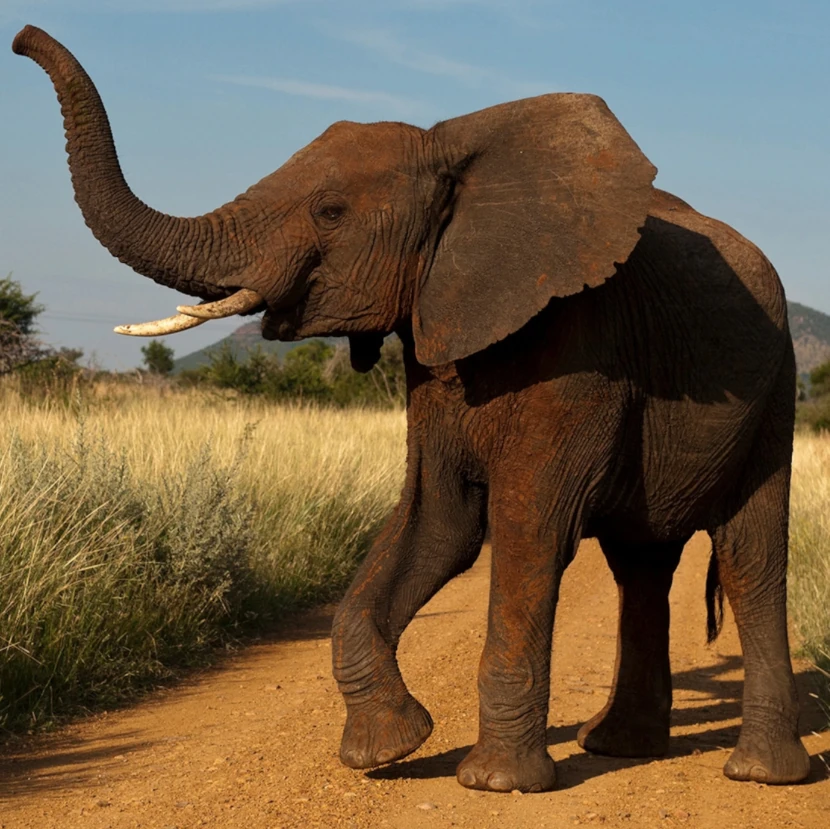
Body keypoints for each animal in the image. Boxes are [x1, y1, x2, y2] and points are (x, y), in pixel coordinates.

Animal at [14, 25, 811, 794]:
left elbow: (528, 529)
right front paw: (386, 749)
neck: (452, 154)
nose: (21, 38)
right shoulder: (433, 351)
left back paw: (761, 773)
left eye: (330, 211)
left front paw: (496, 783)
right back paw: (621, 747)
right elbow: (437, 524)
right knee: (640, 562)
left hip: (776, 389)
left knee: (748, 556)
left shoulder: (584, 348)